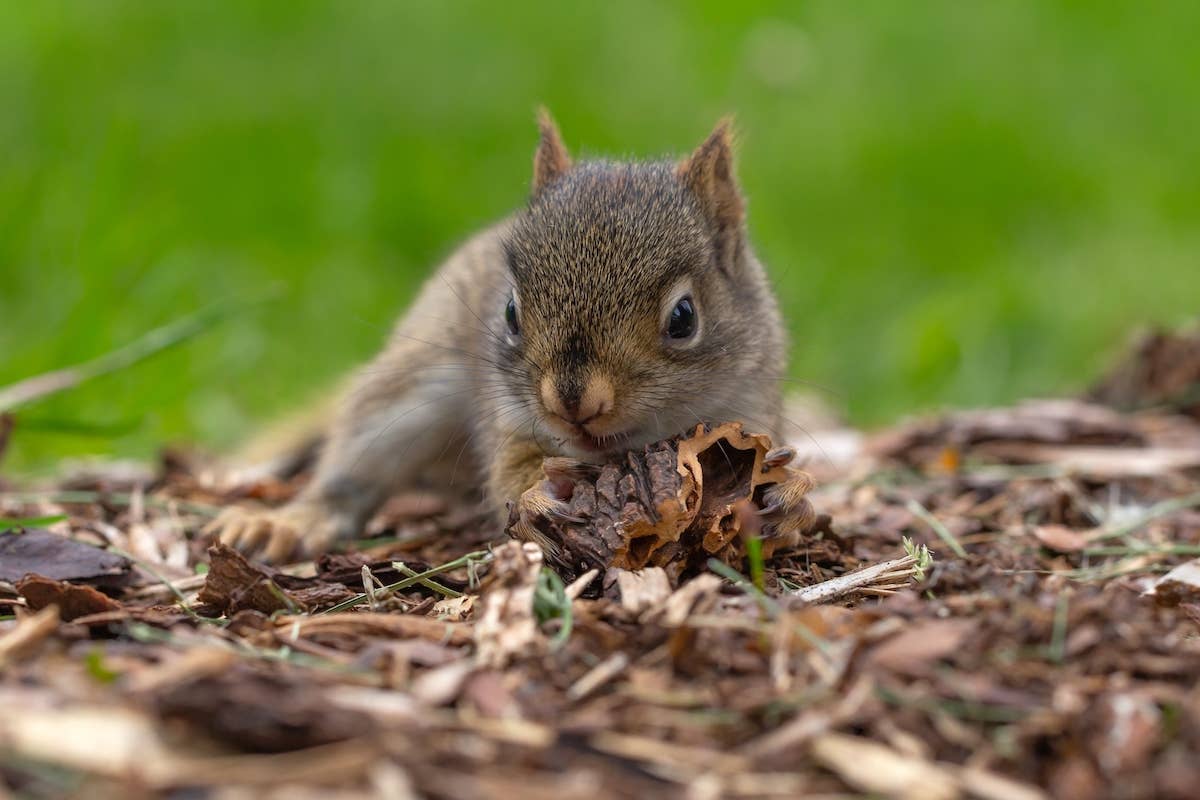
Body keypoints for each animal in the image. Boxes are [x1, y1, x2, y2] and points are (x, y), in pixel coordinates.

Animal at [207, 111, 815, 562]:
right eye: (509, 313)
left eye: (684, 318)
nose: (573, 404)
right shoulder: (509, 416)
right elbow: (507, 475)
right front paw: (536, 496)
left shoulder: (747, 407)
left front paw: (791, 495)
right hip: (407, 388)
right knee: (350, 470)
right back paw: (290, 522)